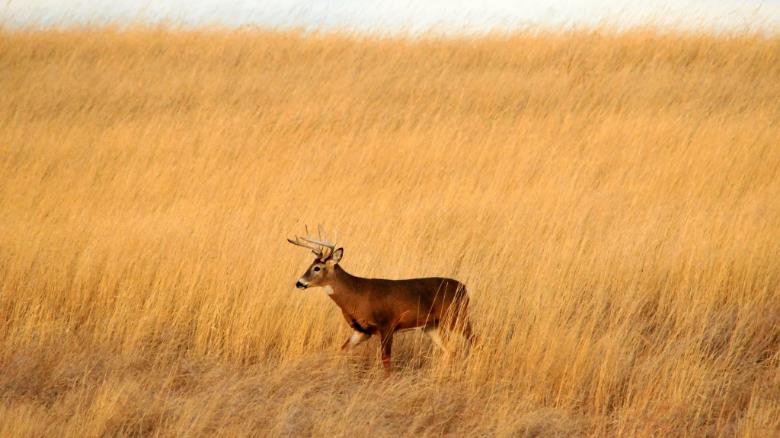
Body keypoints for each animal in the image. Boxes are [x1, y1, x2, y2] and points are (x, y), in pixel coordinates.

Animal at [288, 231, 475, 372]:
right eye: (310, 265)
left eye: (317, 268)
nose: (299, 283)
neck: (356, 295)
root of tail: (464, 288)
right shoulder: (362, 330)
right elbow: (341, 350)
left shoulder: (387, 325)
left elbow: (386, 361)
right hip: (431, 325)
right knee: (450, 350)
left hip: (457, 317)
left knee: (474, 340)